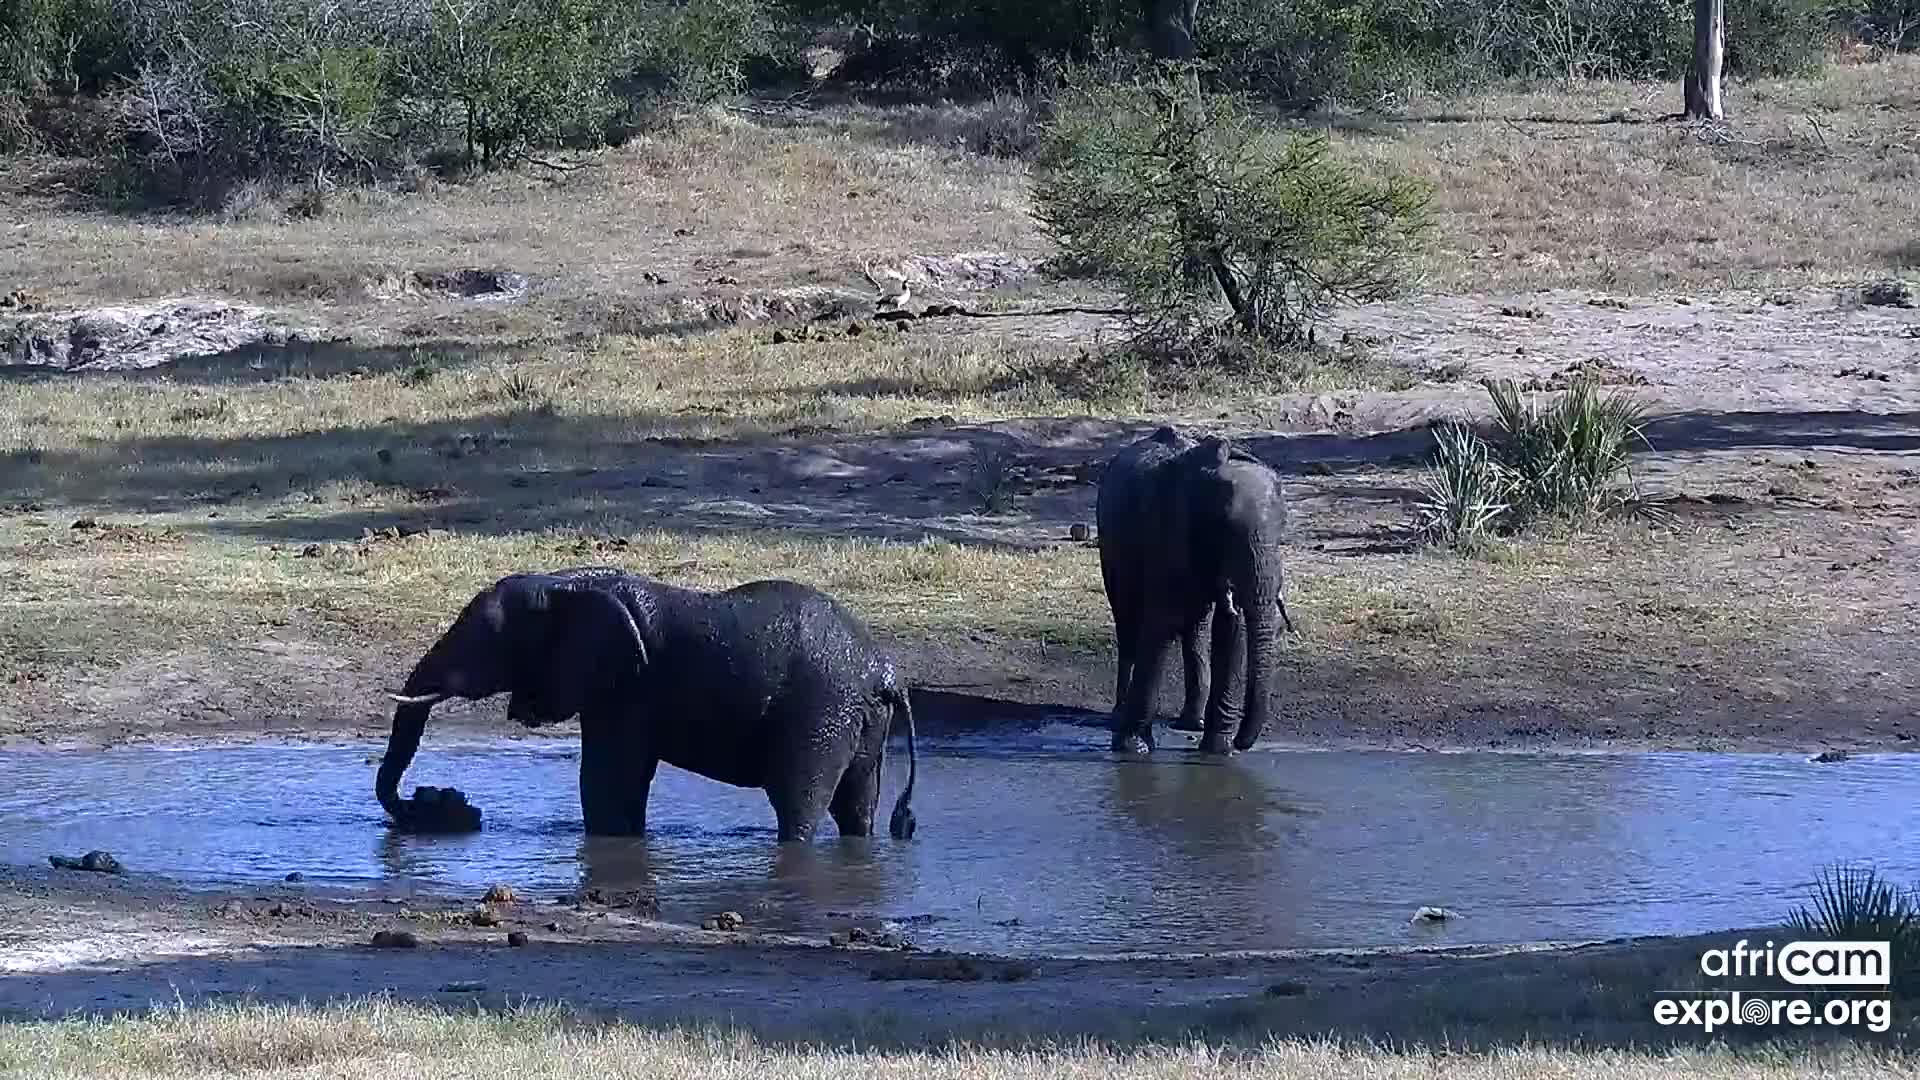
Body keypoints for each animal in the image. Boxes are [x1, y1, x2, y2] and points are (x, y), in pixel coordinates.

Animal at [377, 568, 919, 844]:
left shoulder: (628, 688)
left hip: (820, 712)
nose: (448, 804)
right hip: (862, 720)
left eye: (484, 641)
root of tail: (886, 674)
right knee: (857, 803)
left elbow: (606, 783)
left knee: (798, 800)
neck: (564, 585)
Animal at [1095, 425, 1293, 756]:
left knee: (1195, 627)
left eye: (1283, 529)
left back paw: (1192, 723)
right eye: (1226, 528)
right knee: (1128, 623)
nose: (1241, 743)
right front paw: (1134, 749)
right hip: (1110, 546)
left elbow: (1232, 631)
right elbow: (1160, 624)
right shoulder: (1167, 529)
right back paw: (1119, 717)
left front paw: (1217, 752)